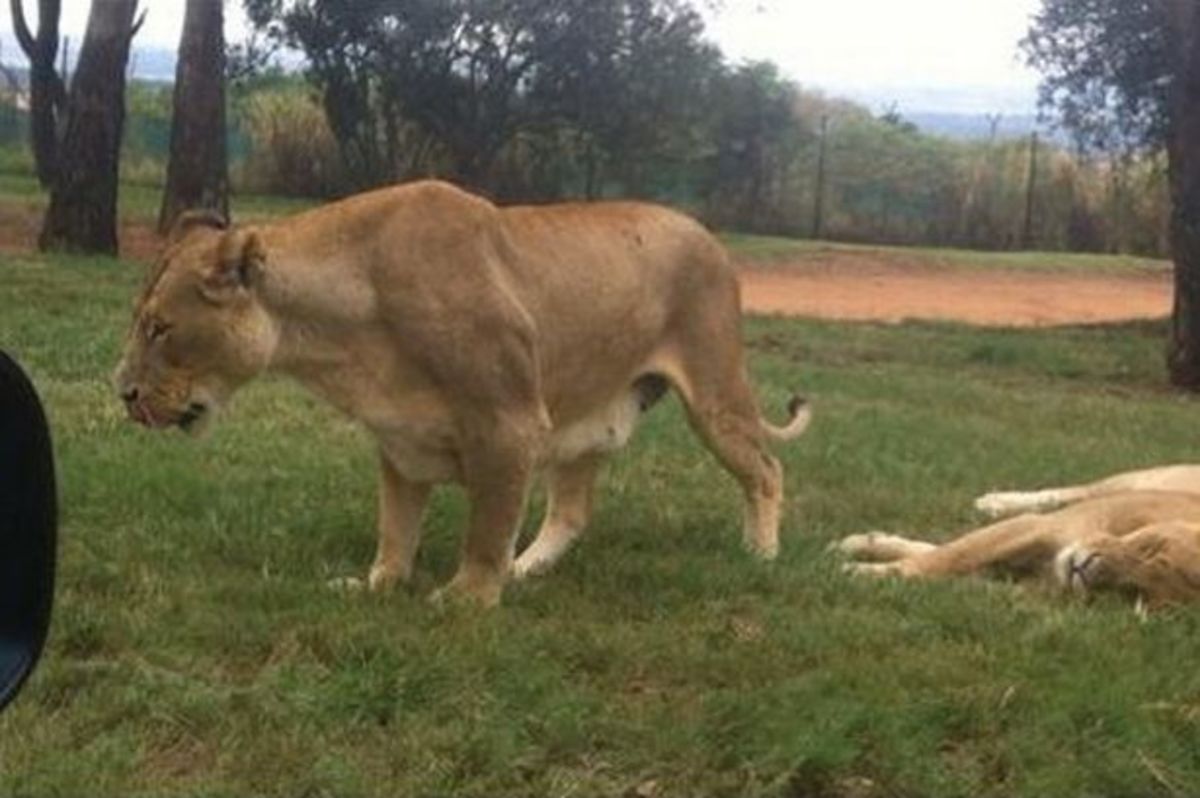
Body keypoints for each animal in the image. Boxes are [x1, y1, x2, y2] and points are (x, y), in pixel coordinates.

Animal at [113, 180, 811, 606]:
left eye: (160, 328)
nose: (121, 391)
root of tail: (707, 233)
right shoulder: (397, 437)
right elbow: (395, 526)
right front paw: (378, 585)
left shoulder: (511, 423)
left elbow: (488, 523)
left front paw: (466, 600)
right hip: (588, 420)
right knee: (571, 511)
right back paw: (526, 569)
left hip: (715, 391)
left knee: (767, 468)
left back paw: (762, 554)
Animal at [834, 466, 1200, 609]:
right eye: (1151, 547)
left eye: (1133, 593)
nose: (1085, 568)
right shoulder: (1037, 527)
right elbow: (948, 556)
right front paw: (860, 568)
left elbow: (946, 565)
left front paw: (867, 556)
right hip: (1141, 480)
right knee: (1069, 491)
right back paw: (991, 501)